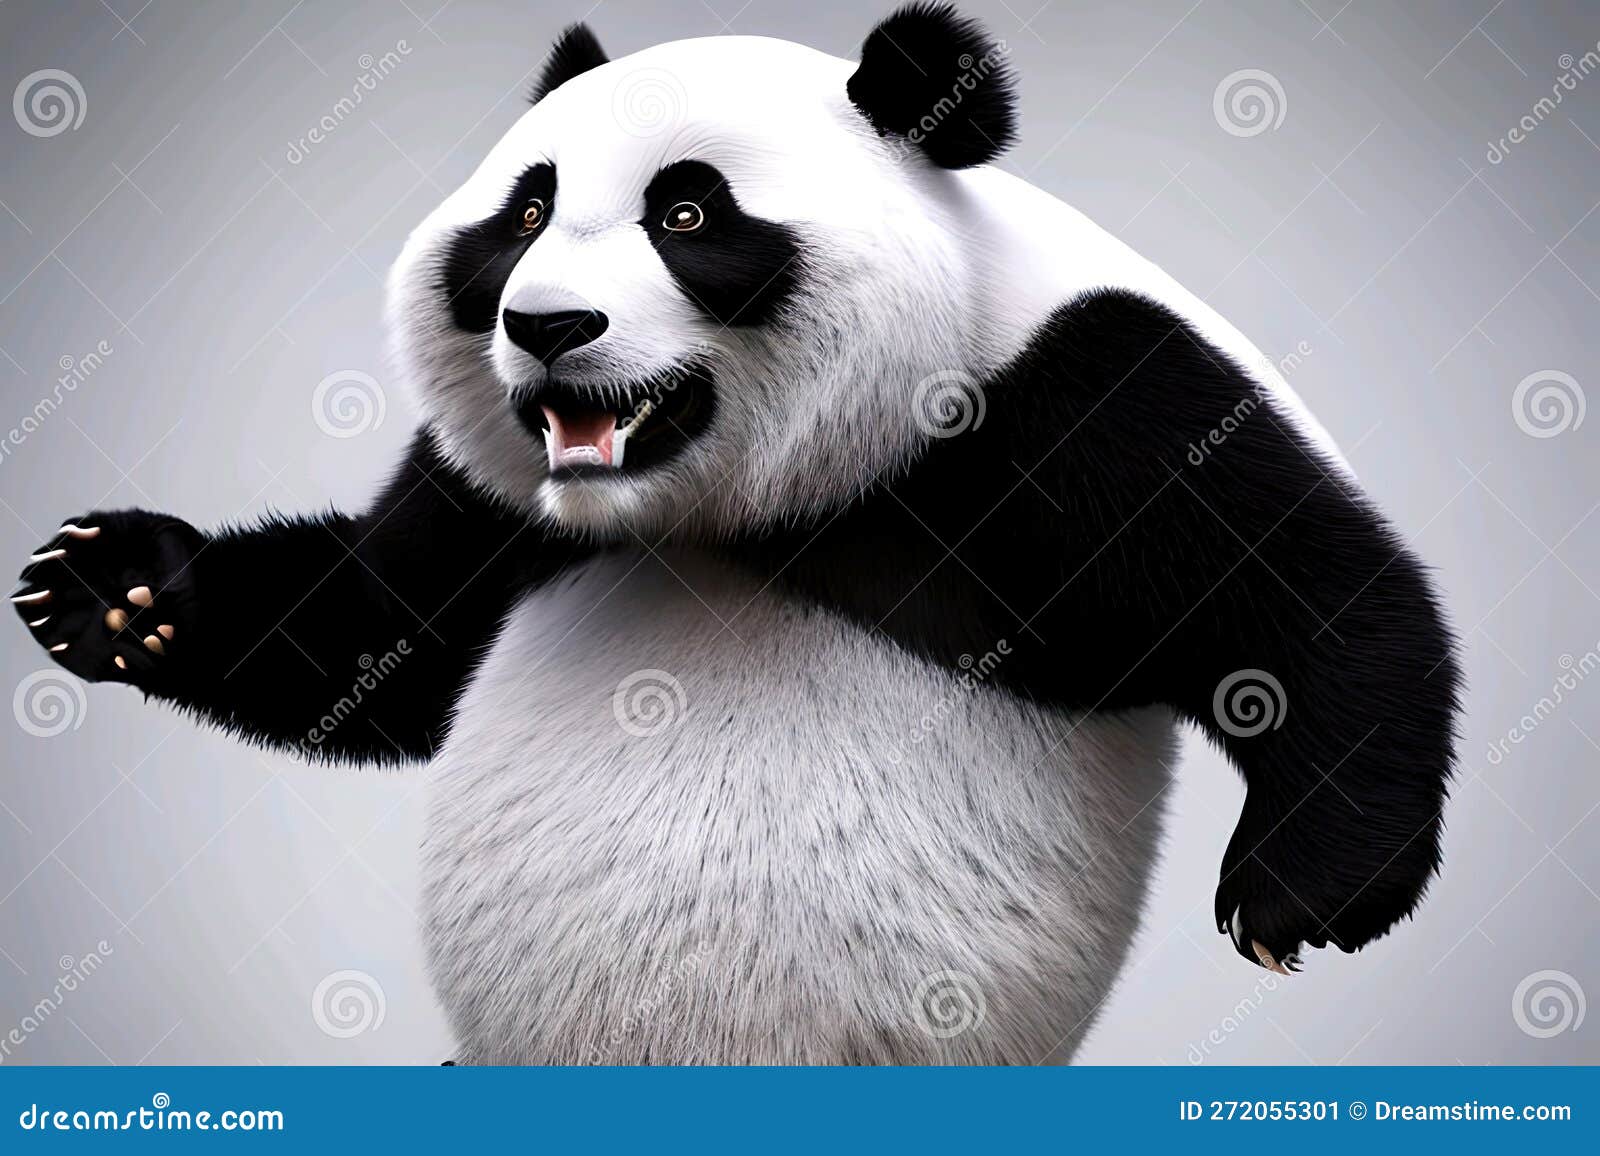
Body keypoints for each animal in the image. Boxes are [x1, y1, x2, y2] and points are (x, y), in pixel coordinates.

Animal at [14, 5, 1459, 1064]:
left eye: (688, 214)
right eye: (524, 213)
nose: (546, 326)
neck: (730, 509)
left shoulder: (1090, 391)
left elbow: (1311, 614)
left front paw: (1294, 898)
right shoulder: (503, 508)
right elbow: (380, 639)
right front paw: (113, 591)